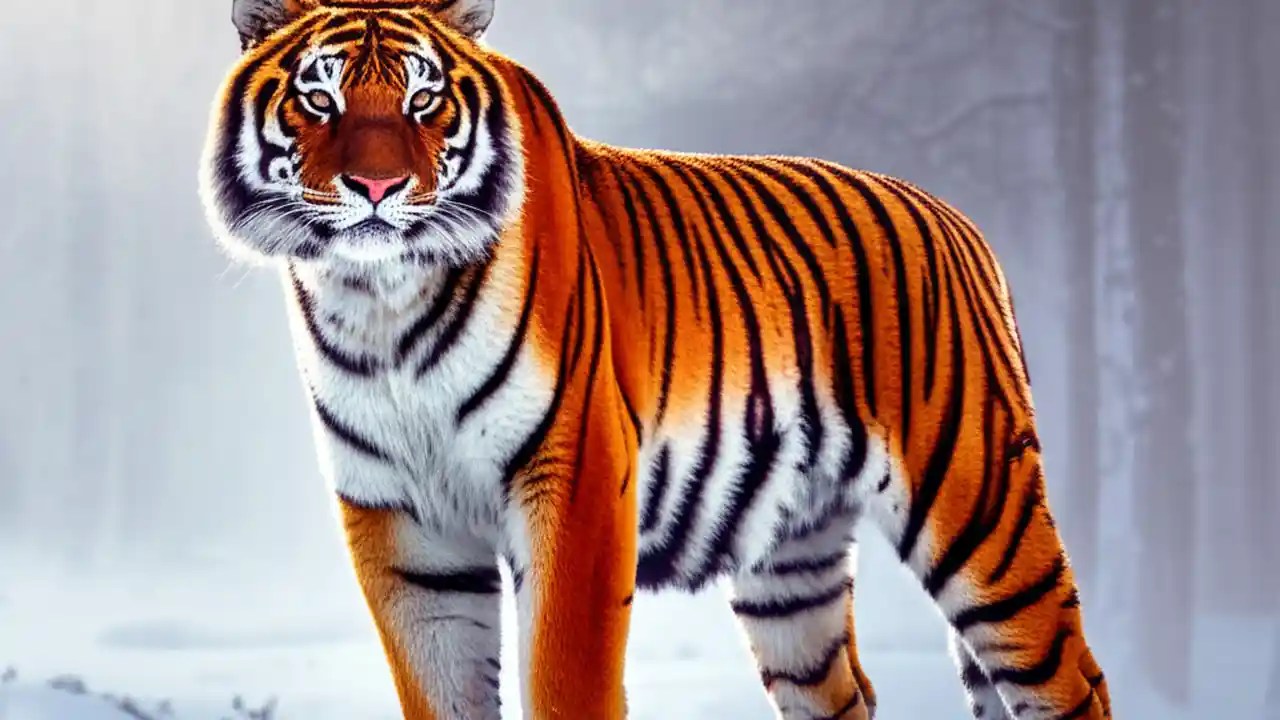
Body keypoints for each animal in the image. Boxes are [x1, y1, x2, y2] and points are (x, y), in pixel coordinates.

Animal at [199, 1, 1113, 718]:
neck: (379, 303)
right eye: (319, 99)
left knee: (1070, 677)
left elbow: (565, 685)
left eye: (425, 100)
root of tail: (960, 221)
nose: (378, 190)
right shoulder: (403, 526)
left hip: (980, 509)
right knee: (843, 689)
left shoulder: (572, 480)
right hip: (794, 562)